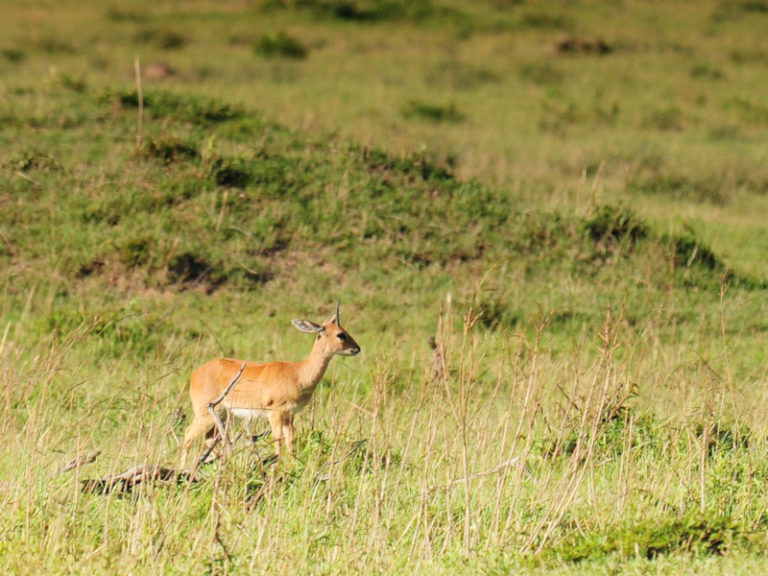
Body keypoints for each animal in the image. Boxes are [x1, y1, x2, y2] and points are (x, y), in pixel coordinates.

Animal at [179, 304, 360, 468]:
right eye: (341, 334)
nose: (356, 349)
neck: (298, 373)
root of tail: (195, 373)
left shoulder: (289, 415)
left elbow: (290, 441)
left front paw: (292, 465)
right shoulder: (275, 413)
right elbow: (278, 440)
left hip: (226, 416)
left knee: (210, 438)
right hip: (206, 414)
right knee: (188, 435)